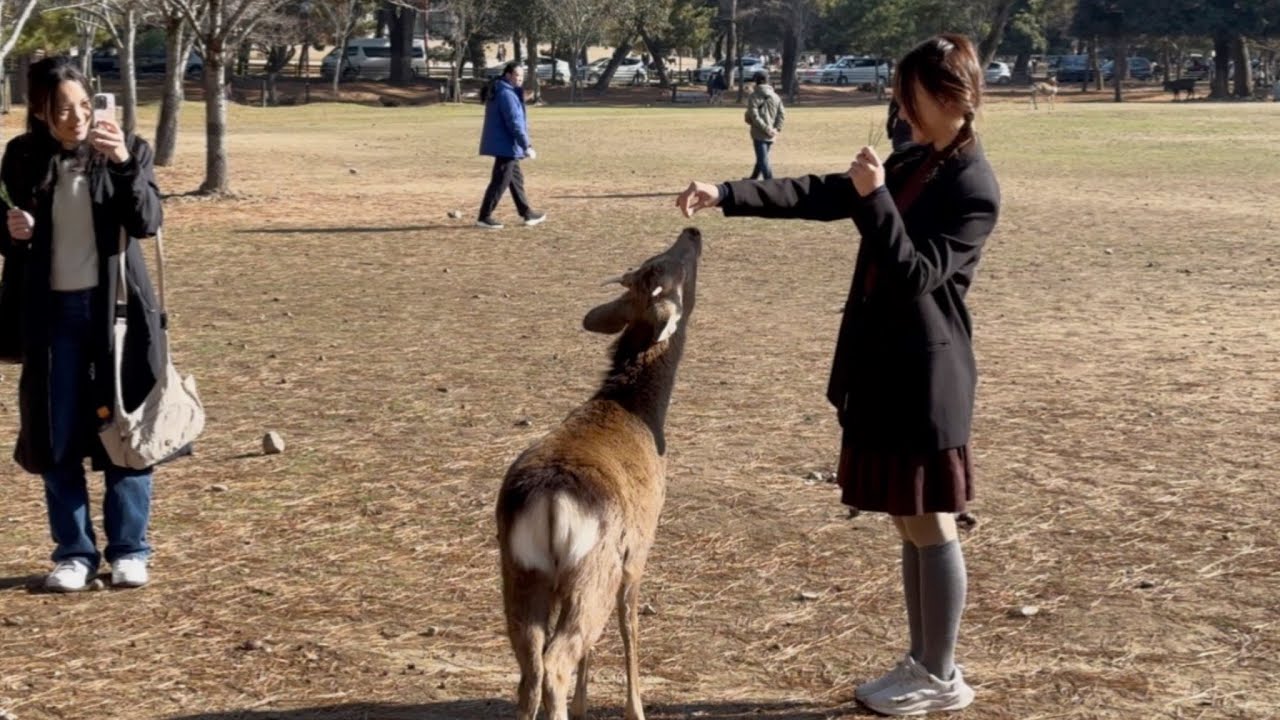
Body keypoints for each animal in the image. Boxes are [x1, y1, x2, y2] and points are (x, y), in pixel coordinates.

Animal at [496, 228, 703, 720]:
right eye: (670, 266)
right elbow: (629, 625)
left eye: (652, 261)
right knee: (555, 661)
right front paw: (635, 708)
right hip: (593, 569)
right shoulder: (639, 549)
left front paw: (585, 702)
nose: (692, 231)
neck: (639, 411)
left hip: (520, 571)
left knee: (530, 667)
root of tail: (550, 501)